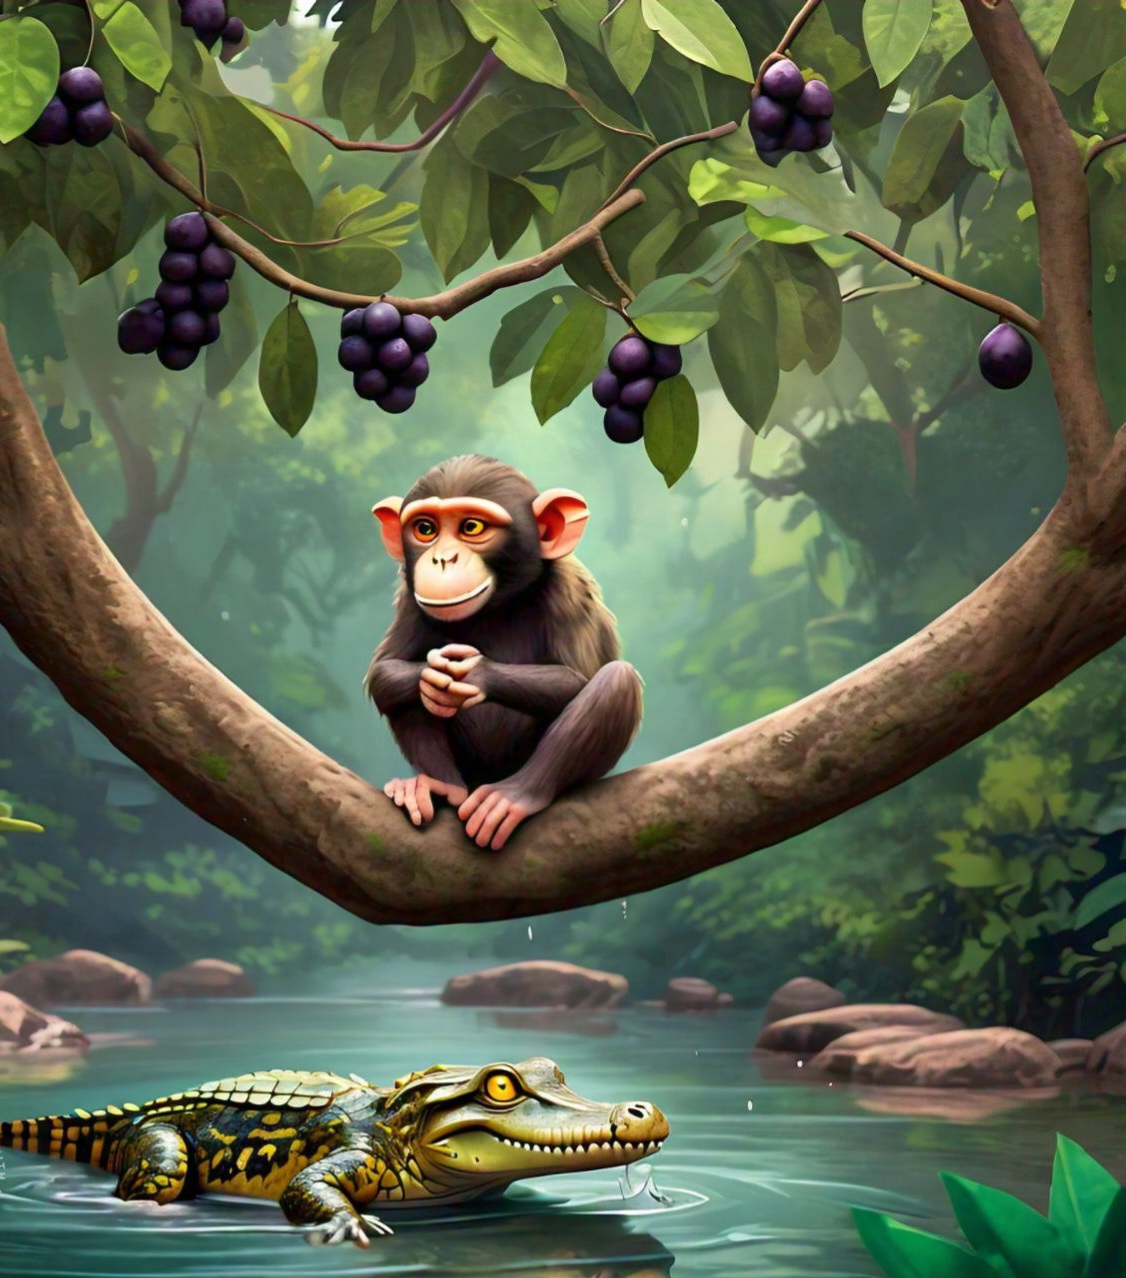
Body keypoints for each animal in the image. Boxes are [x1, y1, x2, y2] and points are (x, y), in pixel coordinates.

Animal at [365, 455, 643, 852]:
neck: (499, 603)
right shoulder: (409, 597)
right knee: (397, 692)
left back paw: (514, 797)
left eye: (472, 527)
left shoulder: (569, 590)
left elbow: (576, 678)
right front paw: (430, 677)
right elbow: (386, 668)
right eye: (425, 529)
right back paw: (439, 788)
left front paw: (475, 673)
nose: (442, 559)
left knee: (616, 681)